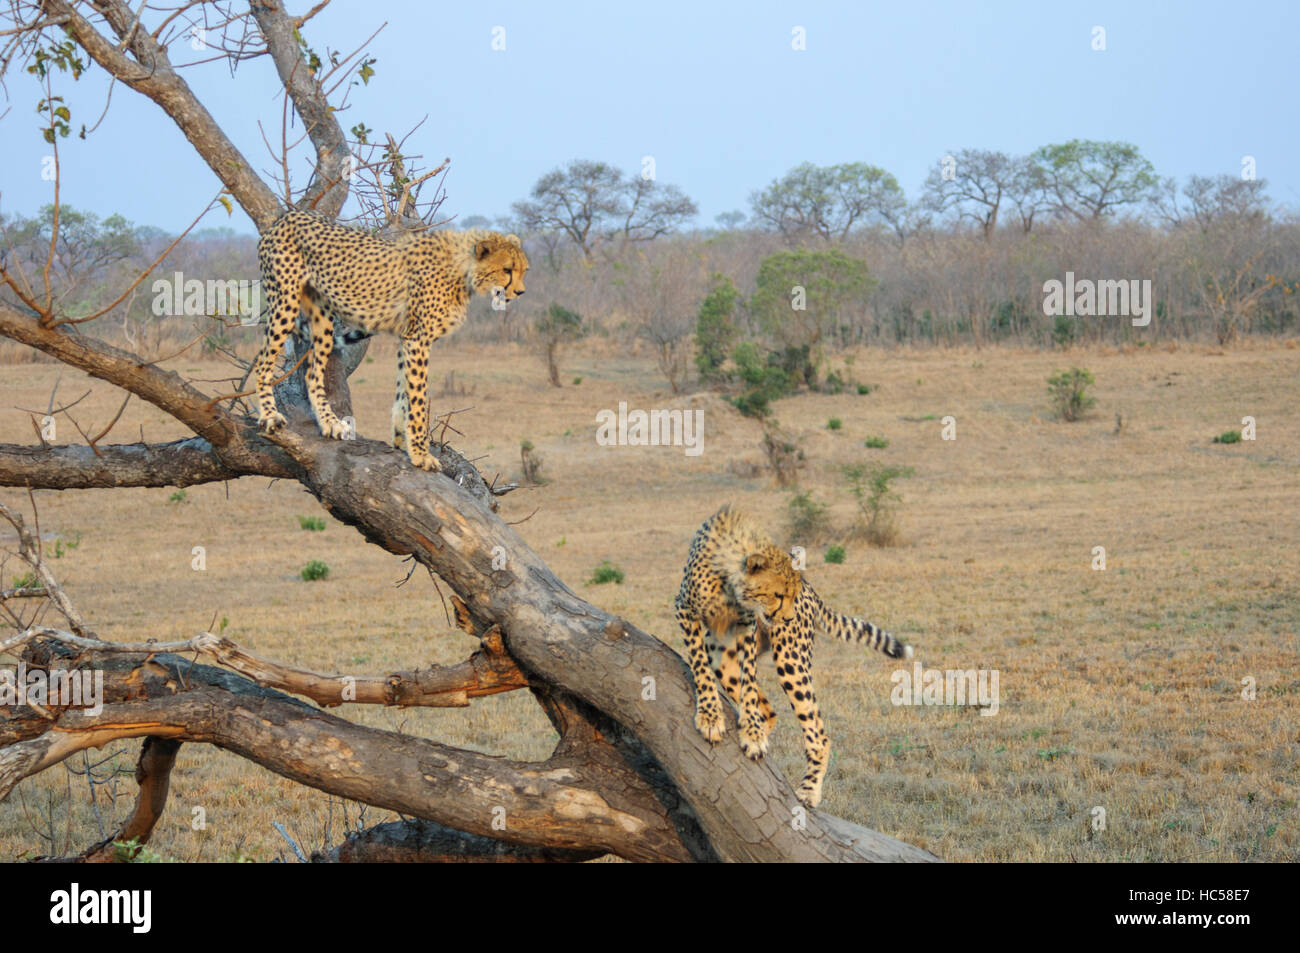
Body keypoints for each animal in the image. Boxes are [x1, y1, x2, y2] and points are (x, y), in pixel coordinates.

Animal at [252, 209, 528, 471]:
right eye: (506, 270)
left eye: (523, 270)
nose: (520, 292)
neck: (463, 270)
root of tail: (287, 216)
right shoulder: (418, 339)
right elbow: (418, 399)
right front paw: (420, 454)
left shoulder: (407, 337)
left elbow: (403, 394)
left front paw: (400, 442)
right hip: (285, 303)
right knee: (263, 363)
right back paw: (270, 415)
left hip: (322, 318)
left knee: (312, 374)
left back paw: (331, 423)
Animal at [673, 504, 913, 808]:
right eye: (777, 594)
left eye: (790, 595)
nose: (787, 617)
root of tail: (813, 591)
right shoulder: (685, 610)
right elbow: (699, 665)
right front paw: (711, 717)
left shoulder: (747, 625)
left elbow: (749, 683)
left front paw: (750, 732)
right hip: (721, 653)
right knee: (769, 710)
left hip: (791, 660)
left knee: (818, 734)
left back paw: (808, 789)